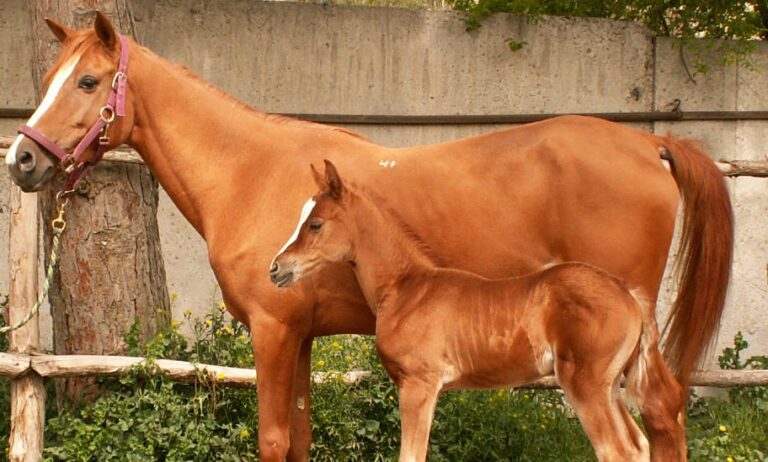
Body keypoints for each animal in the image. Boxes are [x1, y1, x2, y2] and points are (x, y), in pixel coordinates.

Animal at [270, 159, 675, 461]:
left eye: (315, 224)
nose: (275, 268)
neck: (407, 287)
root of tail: (627, 293)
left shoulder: (418, 384)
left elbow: (411, 456)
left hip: (585, 385)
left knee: (617, 451)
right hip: (611, 386)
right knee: (639, 446)